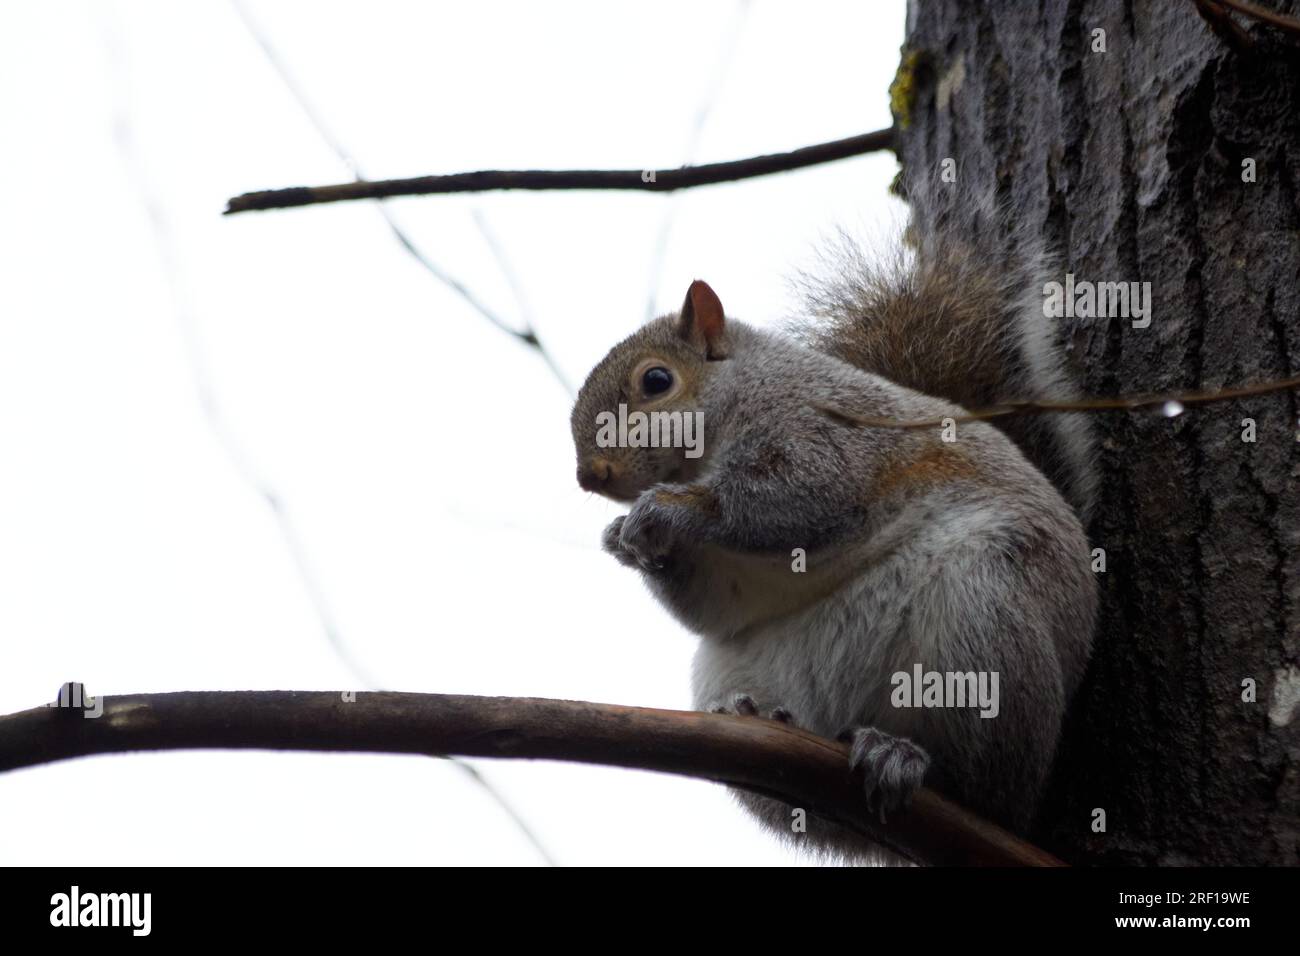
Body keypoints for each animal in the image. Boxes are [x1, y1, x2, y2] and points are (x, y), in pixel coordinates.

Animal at [569, 185, 1098, 864]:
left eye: (657, 381)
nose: (590, 474)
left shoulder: (829, 437)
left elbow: (791, 502)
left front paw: (667, 511)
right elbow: (715, 604)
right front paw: (625, 540)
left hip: (988, 615)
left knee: (987, 789)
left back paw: (905, 758)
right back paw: (757, 718)